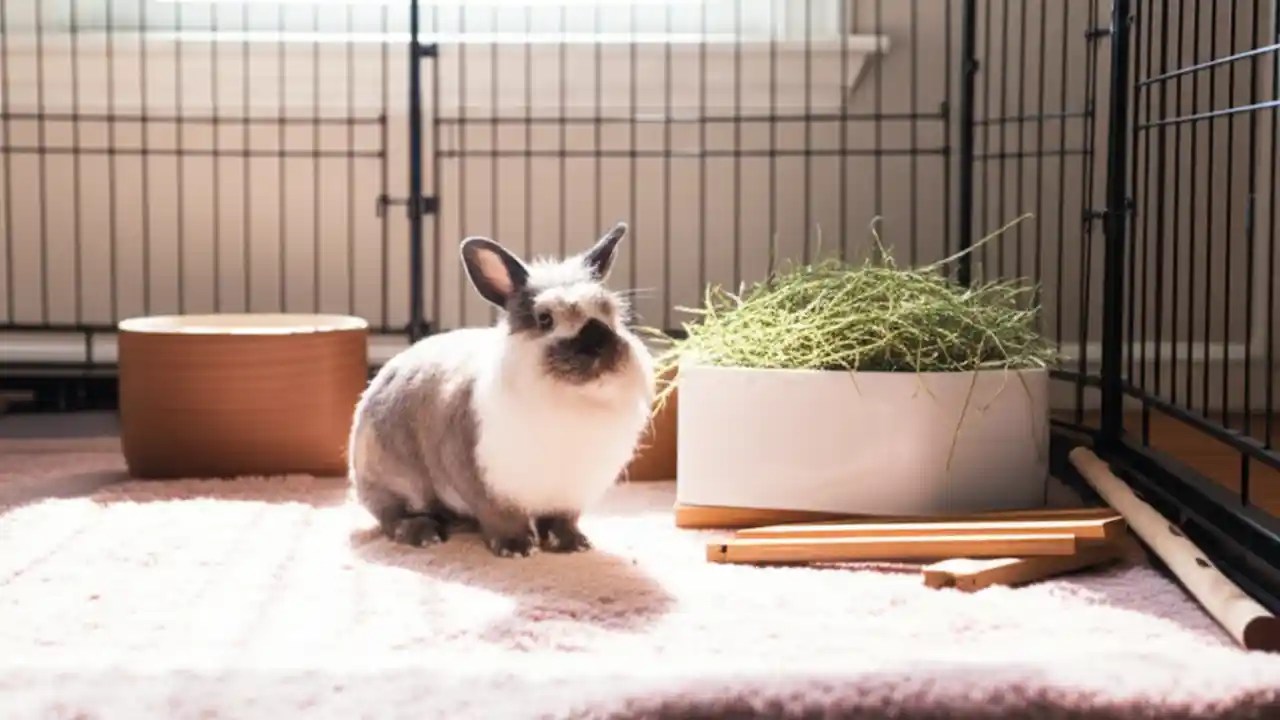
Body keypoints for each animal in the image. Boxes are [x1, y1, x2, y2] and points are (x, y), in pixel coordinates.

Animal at [347, 222, 656, 558]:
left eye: (609, 314)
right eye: (544, 319)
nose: (600, 345)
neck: (572, 400)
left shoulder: (567, 497)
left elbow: (562, 520)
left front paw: (573, 544)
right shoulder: (486, 486)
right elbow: (502, 518)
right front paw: (516, 548)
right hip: (391, 478)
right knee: (392, 515)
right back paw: (425, 534)